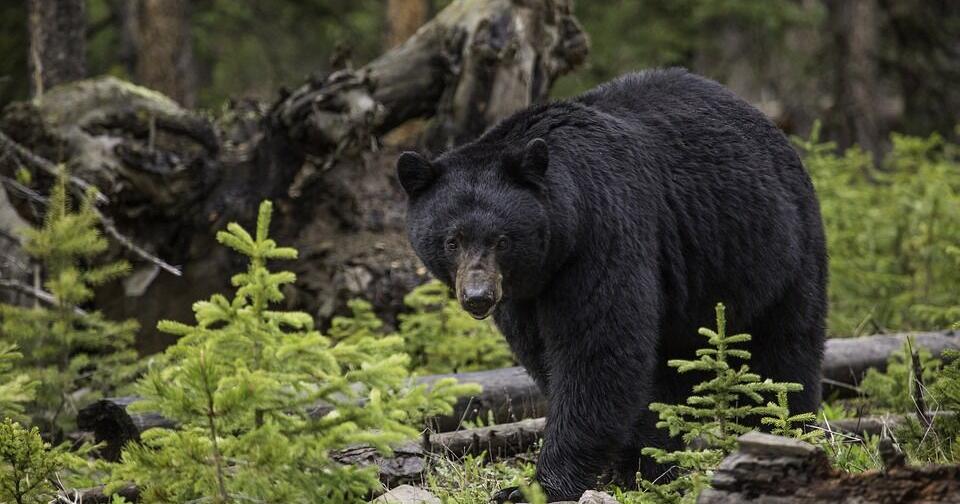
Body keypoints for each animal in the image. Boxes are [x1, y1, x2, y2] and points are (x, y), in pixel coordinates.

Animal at [396, 68, 827, 501]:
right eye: (452, 241)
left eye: (502, 240)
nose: (478, 297)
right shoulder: (525, 294)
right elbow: (546, 355)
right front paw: (632, 465)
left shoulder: (603, 234)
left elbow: (598, 351)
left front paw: (538, 485)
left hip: (774, 252)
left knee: (784, 352)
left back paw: (784, 431)